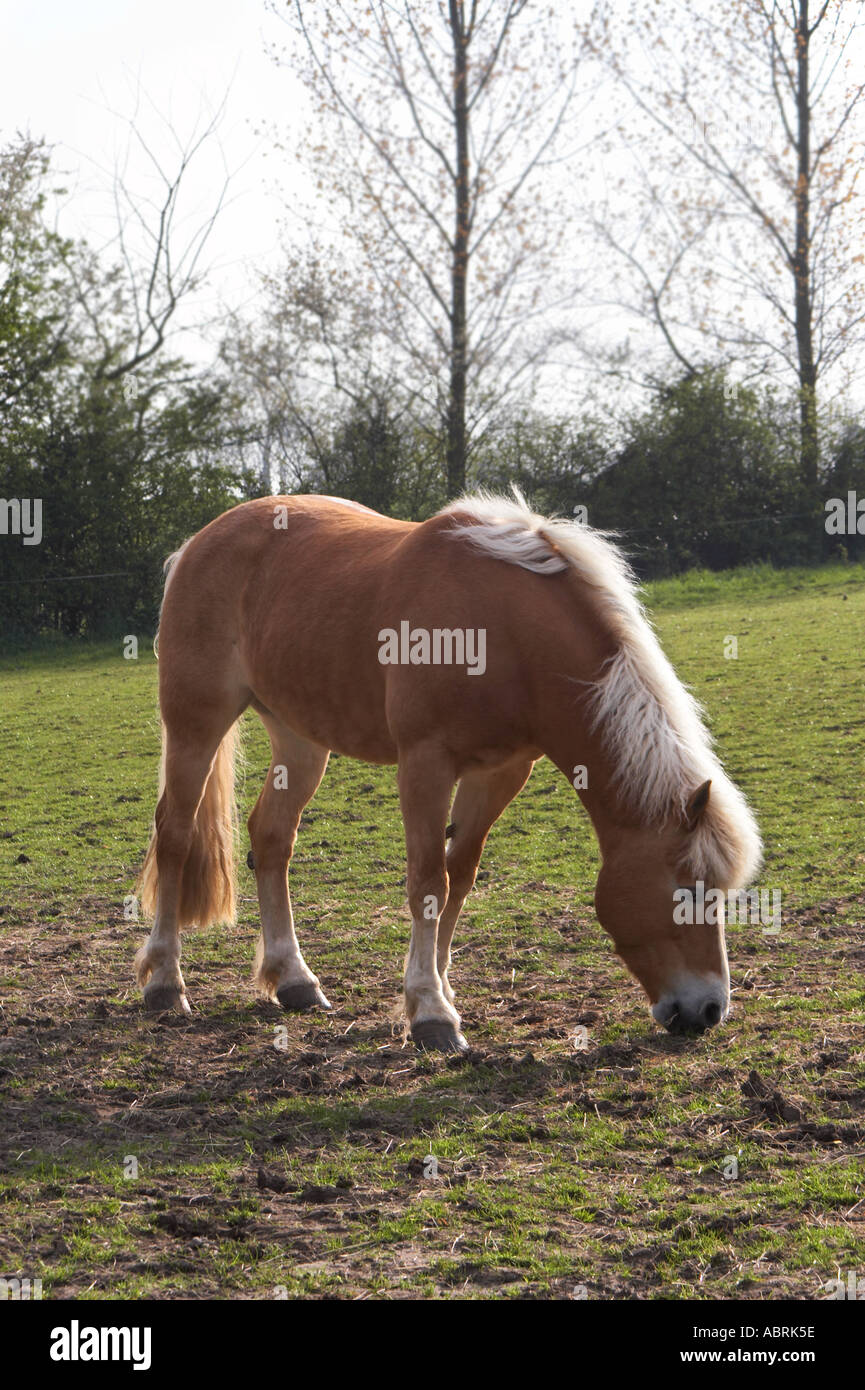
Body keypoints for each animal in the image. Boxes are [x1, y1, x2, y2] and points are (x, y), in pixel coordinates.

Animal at [135, 489, 762, 1052]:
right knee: (175, 835)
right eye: (687, 893)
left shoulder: (501, 772)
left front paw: (437, 988)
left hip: (300, 741)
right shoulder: (426, 764)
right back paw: (165, 982)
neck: (505, 629)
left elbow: (459, 876)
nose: (708, 1010)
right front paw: (431, 1014)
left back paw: (294, 979)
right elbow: (428, 881)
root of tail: (197, 543)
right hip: (197, 724)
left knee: (271, 838)